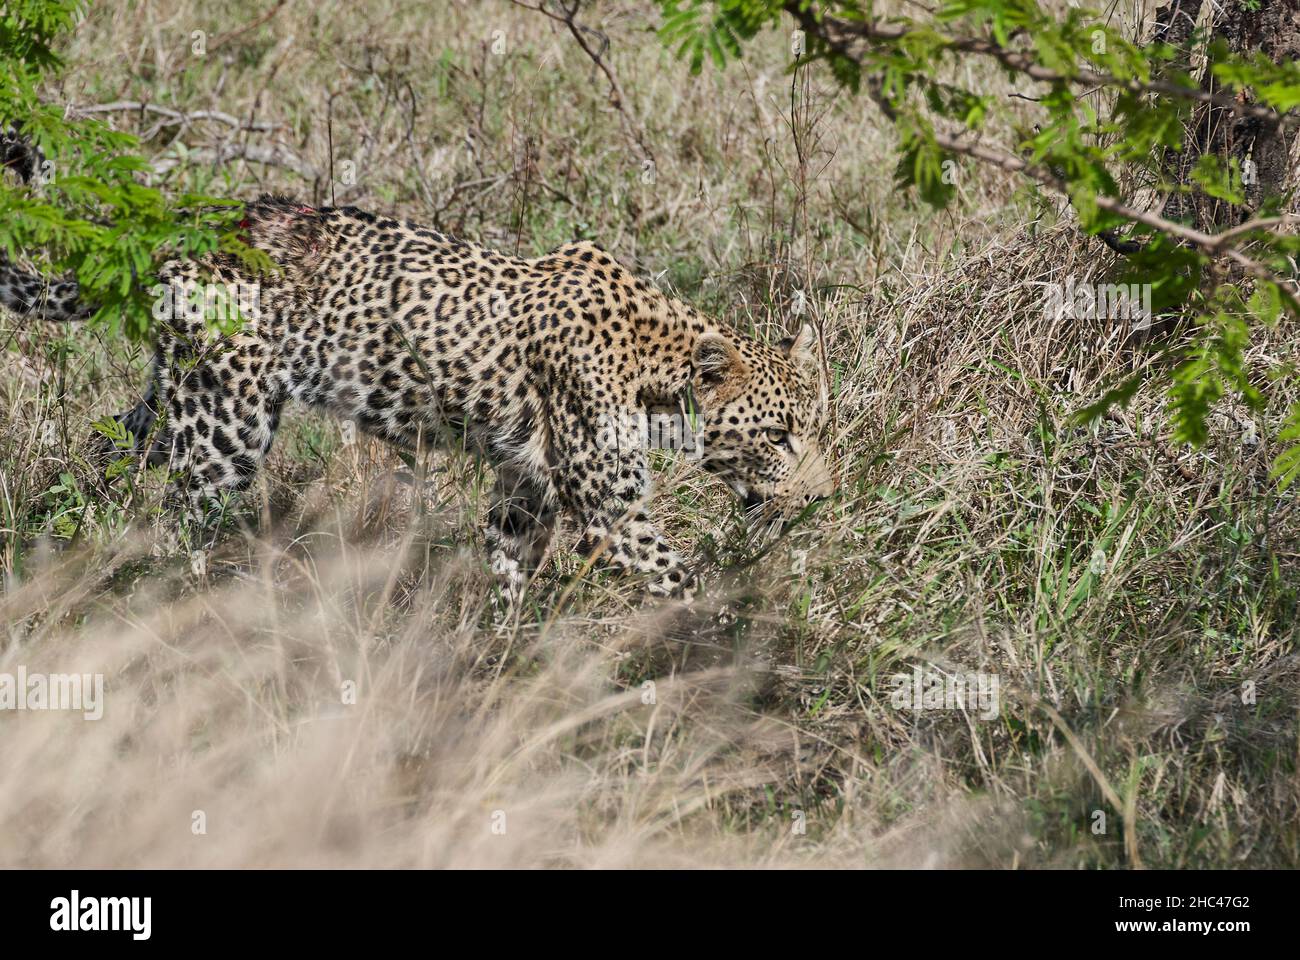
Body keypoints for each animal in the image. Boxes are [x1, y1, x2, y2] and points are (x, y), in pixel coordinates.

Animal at [1, 194, 835, 600]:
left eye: (815, 428)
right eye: (779, 435)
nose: (821, 498)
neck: (653, 366)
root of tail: (181, 227)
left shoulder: (523, 484)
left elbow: (510, 569)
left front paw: (502, 655)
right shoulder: (607, 504)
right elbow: (680, 578)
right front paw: (740, 646)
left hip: (174, 394)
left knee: (109, 450)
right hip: (226, 424)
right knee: (180, 518)